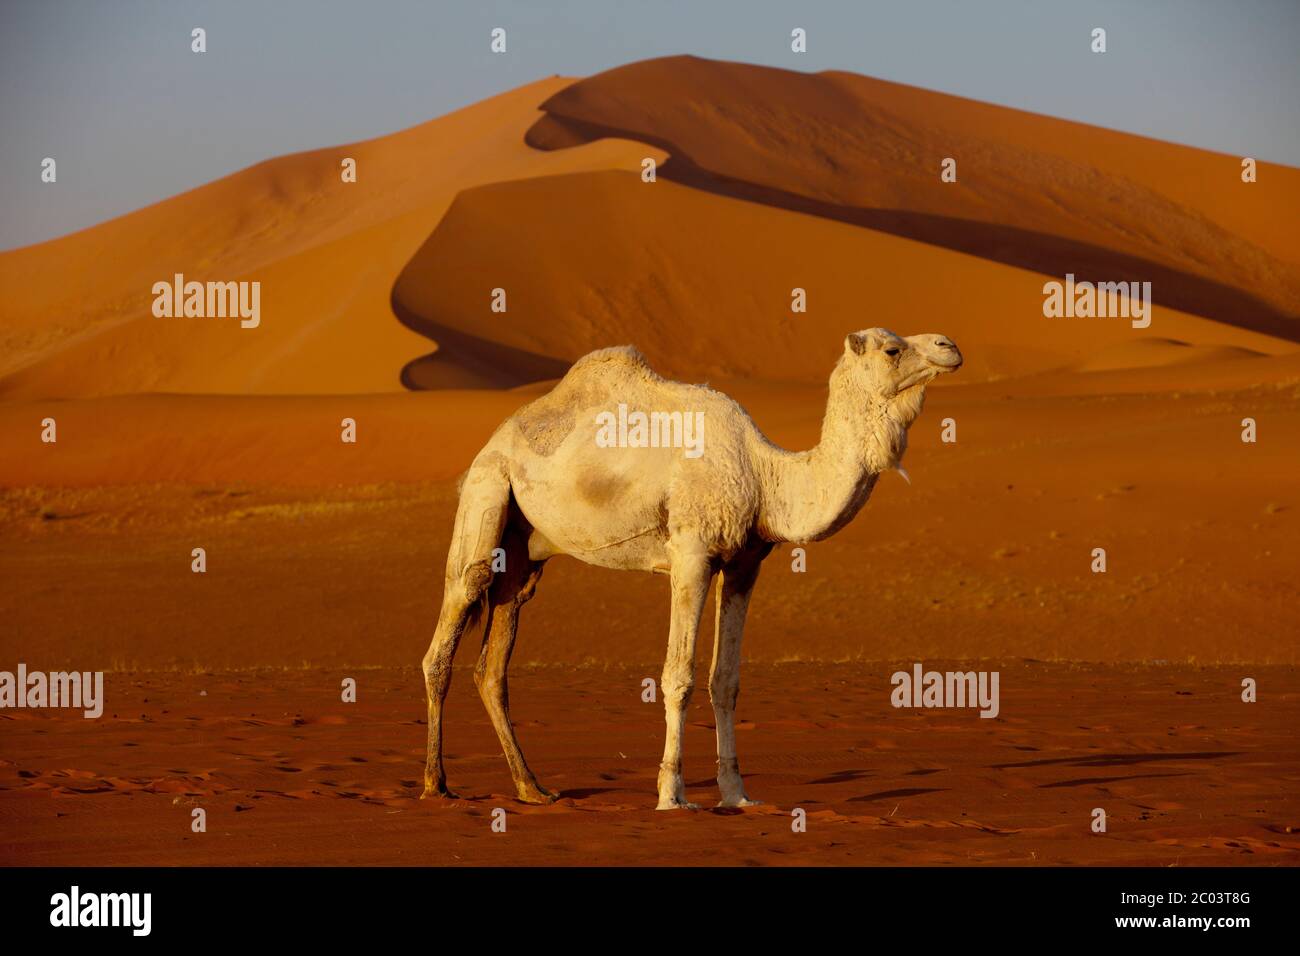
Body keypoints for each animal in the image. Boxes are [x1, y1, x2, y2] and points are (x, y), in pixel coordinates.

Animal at [421, 328, 962, 809]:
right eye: (892, 349)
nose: (949, 346)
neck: (764, 476)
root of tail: (498, 437)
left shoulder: (745, 564)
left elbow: (726, 681)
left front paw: (737, 794)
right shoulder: (691, 555)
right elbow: (677, 677)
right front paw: (672, 796)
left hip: (523, 552)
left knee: (495, 661)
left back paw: (532, 789)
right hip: (487, 491)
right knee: (452, 619)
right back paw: (436, 785)